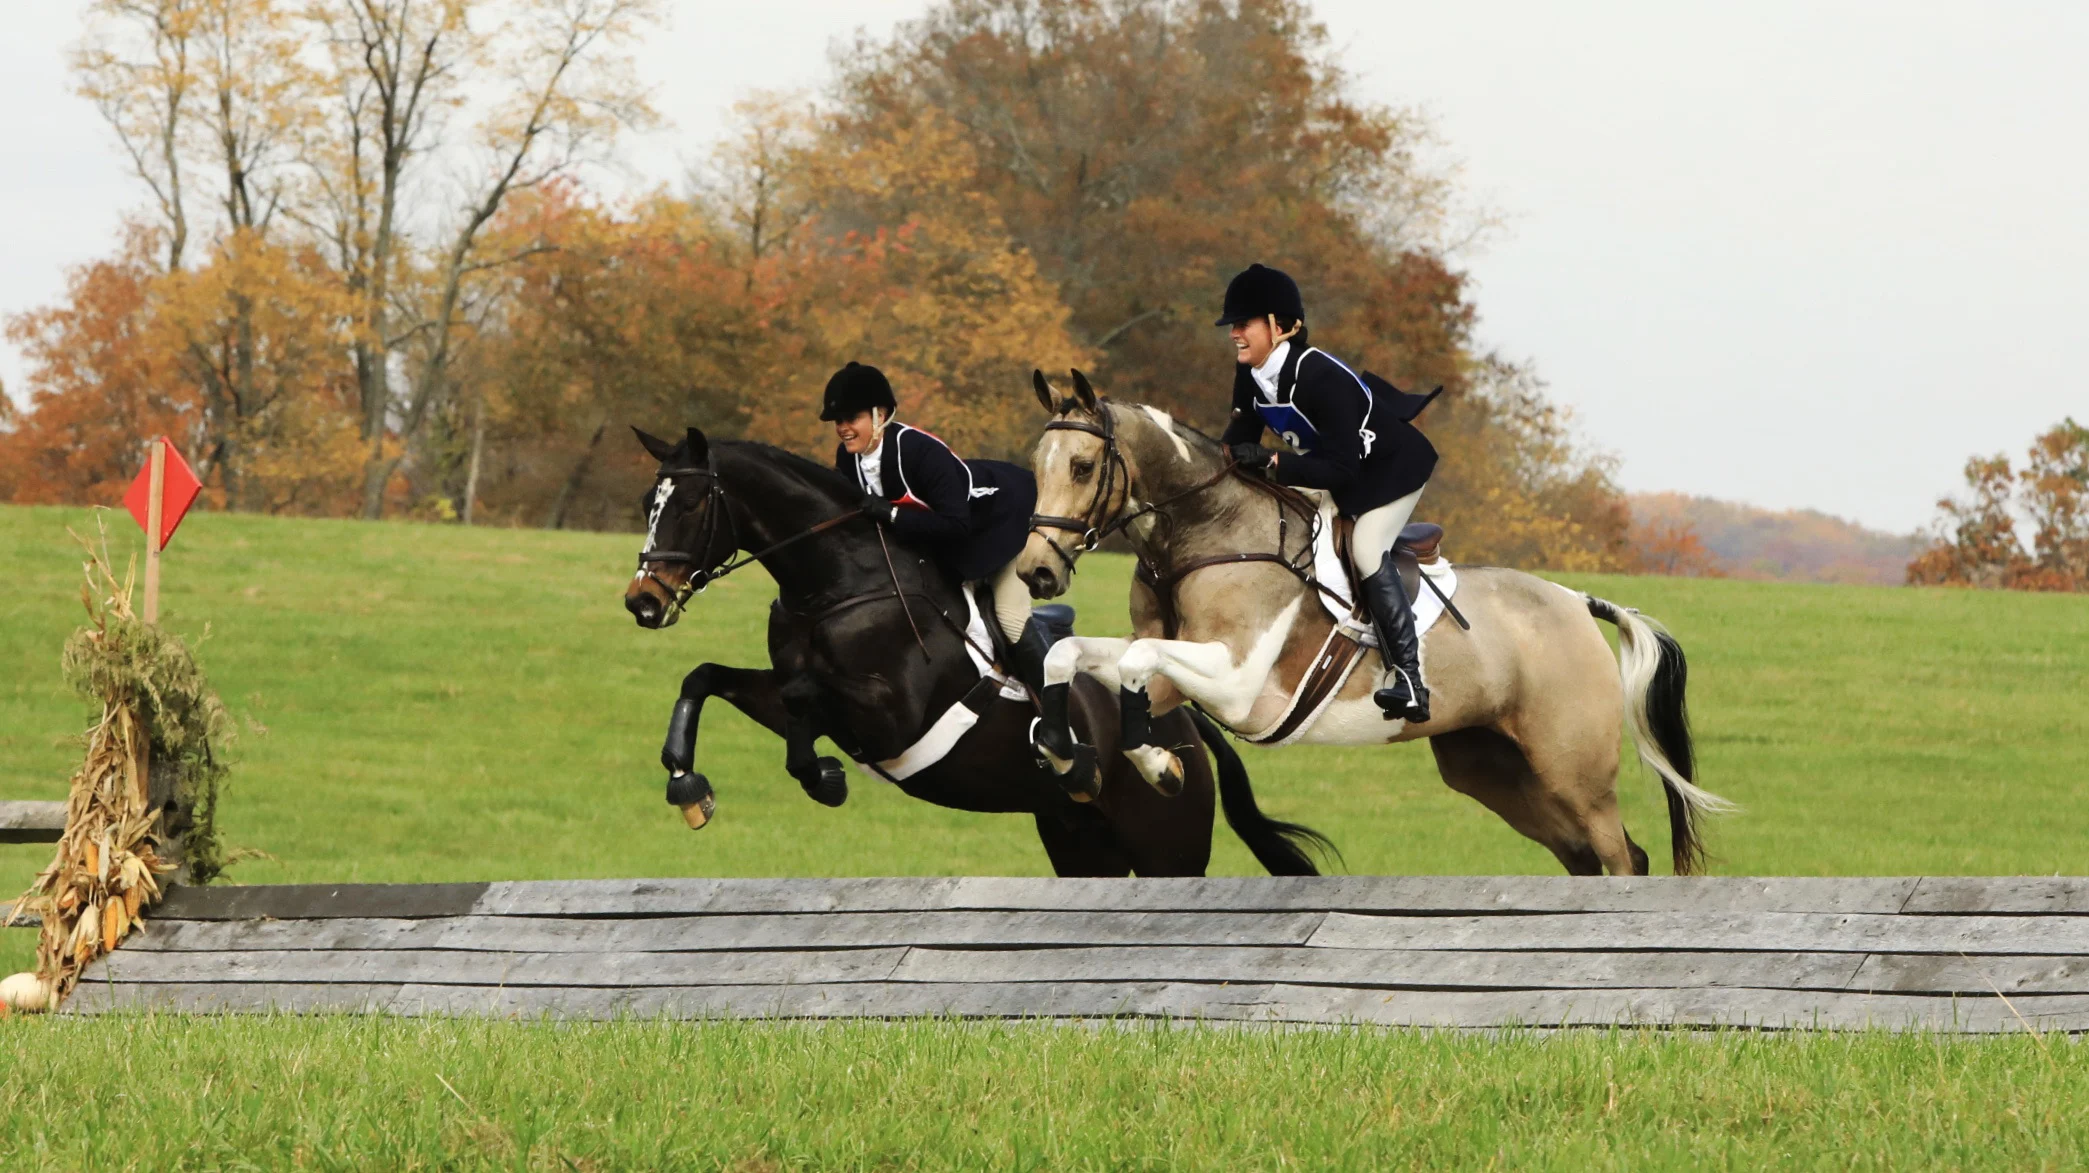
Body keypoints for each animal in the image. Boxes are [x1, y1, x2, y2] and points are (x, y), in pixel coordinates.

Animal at [620, 424, 1333, 877]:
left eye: (690, 502)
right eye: (649, 501)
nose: (643, 602)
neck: (835, 583)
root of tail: (1185, 724)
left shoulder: (892, 716)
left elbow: (801, 698)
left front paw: (821, 776)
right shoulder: (801, 694)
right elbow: (706, 678)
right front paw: (687, 784)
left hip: (1167, 846)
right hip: (1079, 843)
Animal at [1012, 372, 1733, 877]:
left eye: (1082, 467)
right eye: (1034, 466)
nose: (1035, 573)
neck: (1207, 533)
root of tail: (1576, 601)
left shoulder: (1237, 683)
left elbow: (1133, 665)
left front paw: (1158, 767)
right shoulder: (1171, 669)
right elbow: (1071, 655)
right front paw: (1074, 759)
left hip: (1574, 773)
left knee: (1622, 856)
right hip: (1496, 770)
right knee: (1586, 856)